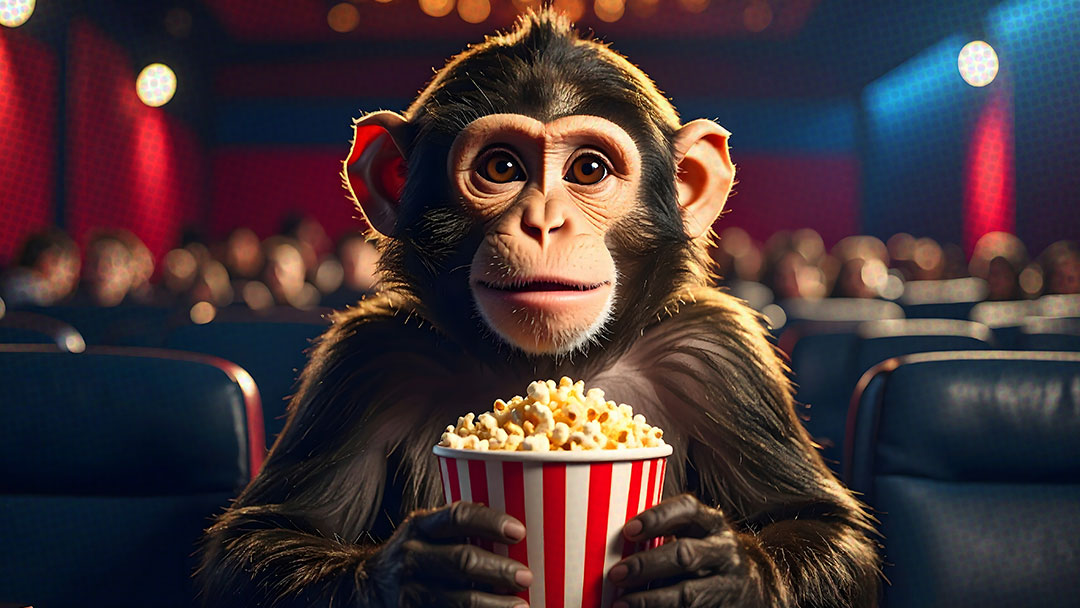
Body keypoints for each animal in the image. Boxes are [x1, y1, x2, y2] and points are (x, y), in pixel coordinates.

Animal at [198, 11, 880, 608]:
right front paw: (420, 572)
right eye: (501, 166)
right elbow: (267, 536)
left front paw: (717, 570)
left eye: (589, 169)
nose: (544, 222)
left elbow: (817, 522)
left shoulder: (720, 356)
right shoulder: (364, 361)